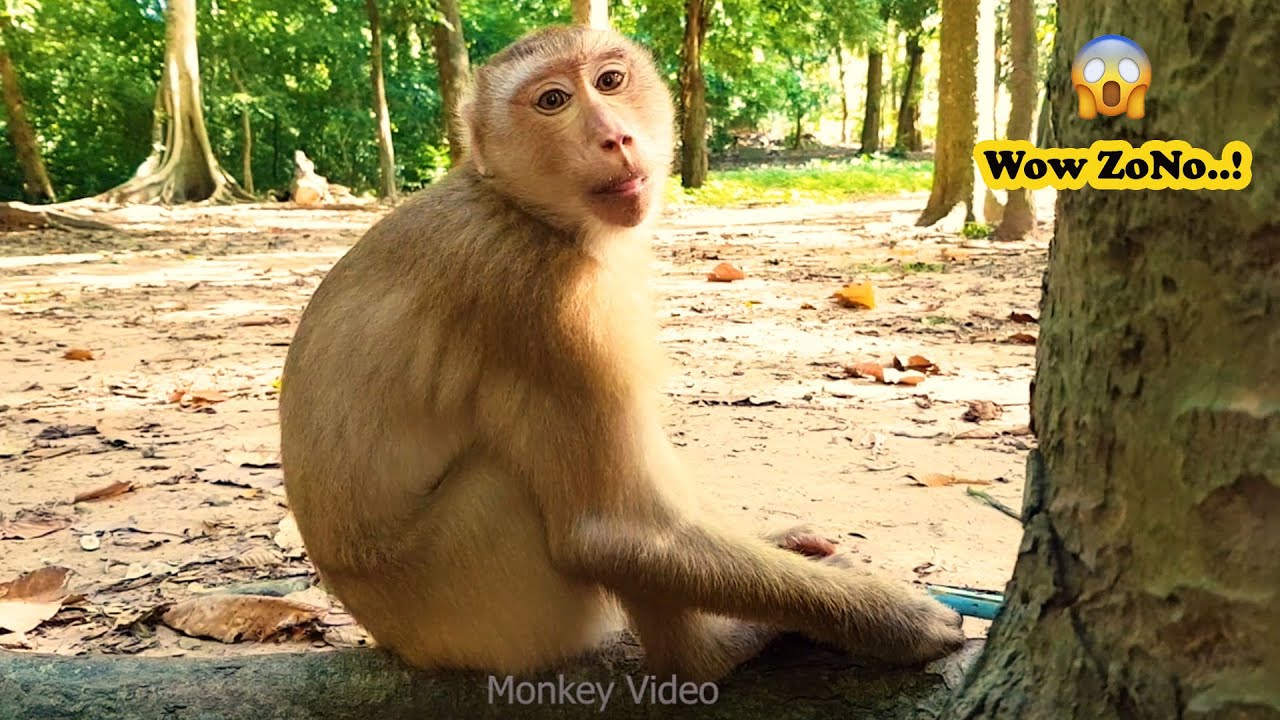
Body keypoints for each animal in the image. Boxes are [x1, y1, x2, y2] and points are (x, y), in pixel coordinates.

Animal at [278, 25, 964, 683]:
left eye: (610, 81)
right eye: (553, 101)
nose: (615, 137)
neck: (523, 209)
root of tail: (394, 641)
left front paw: (779, 541)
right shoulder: (552, 308)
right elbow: (611, 534)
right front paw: (889, 619)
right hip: (478, 604)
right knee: (535, 488)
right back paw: (707, 653)